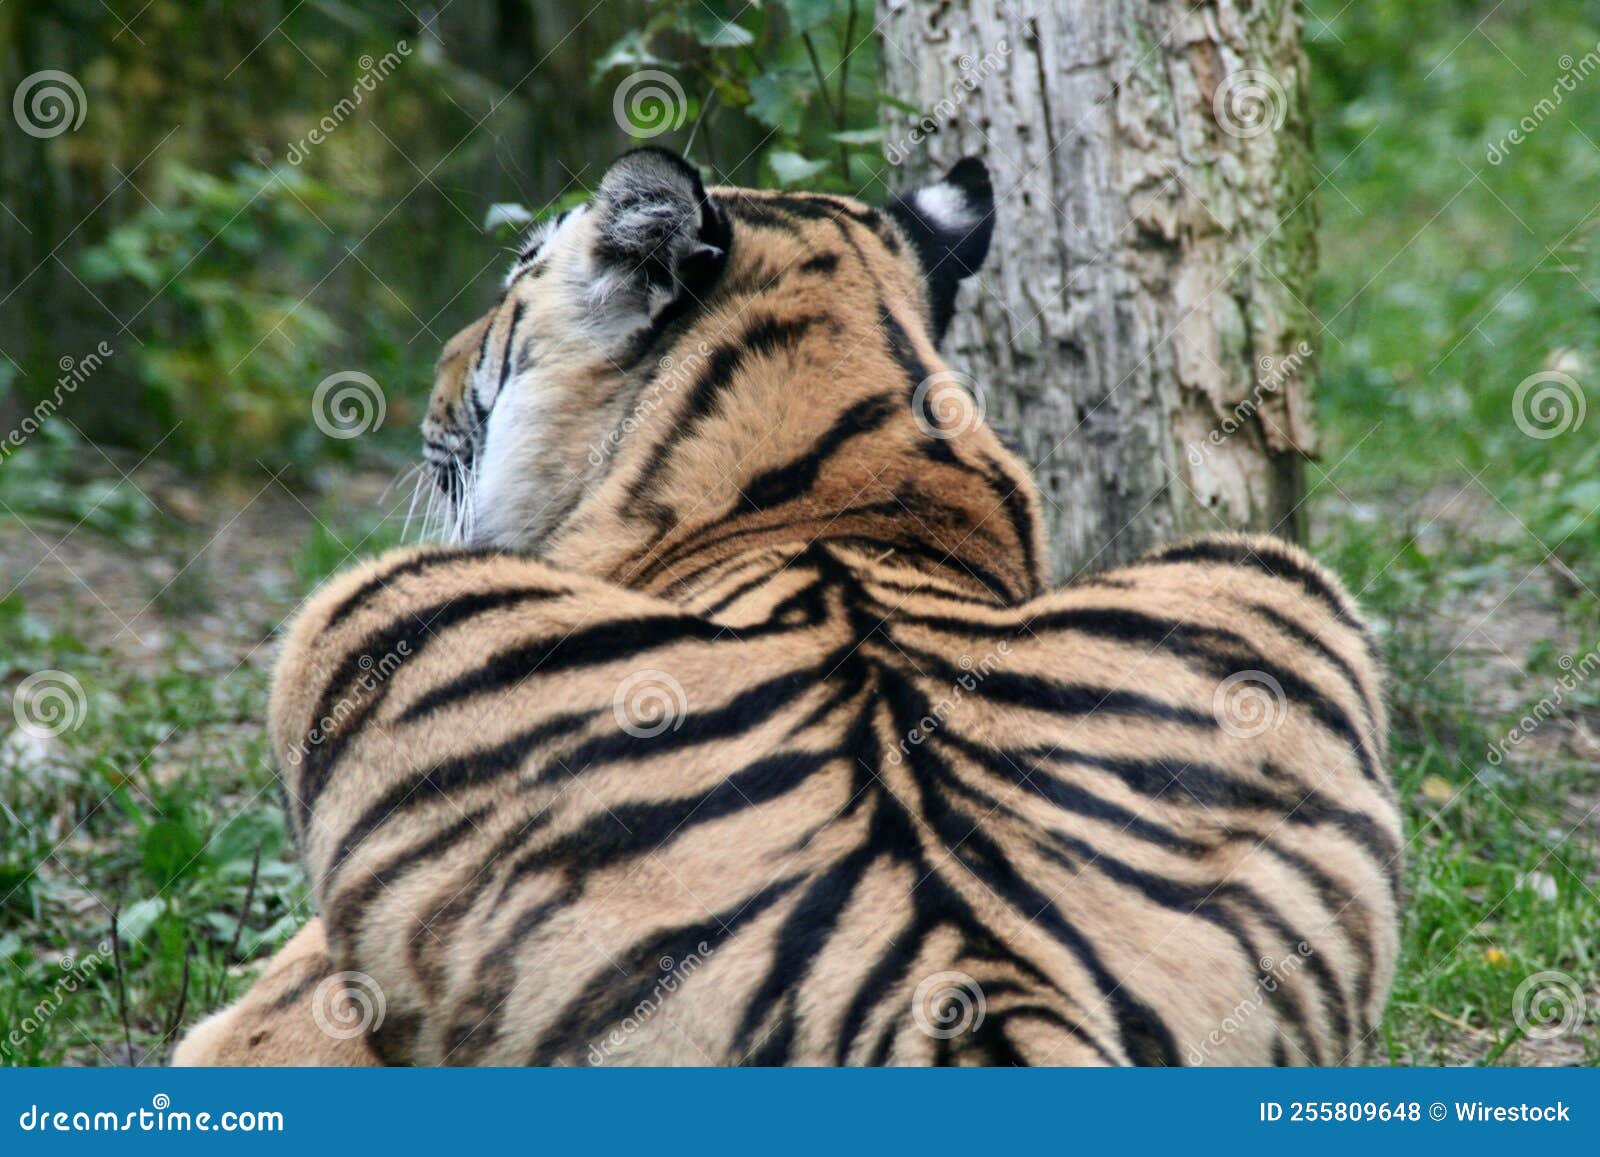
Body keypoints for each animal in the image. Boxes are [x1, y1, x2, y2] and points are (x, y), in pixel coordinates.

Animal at [173, 147, 1399, 1067]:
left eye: (522, 273)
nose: (431, 377)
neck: (853, 440)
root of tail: (982, 998)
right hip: (1268, 575)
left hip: (358, 613)